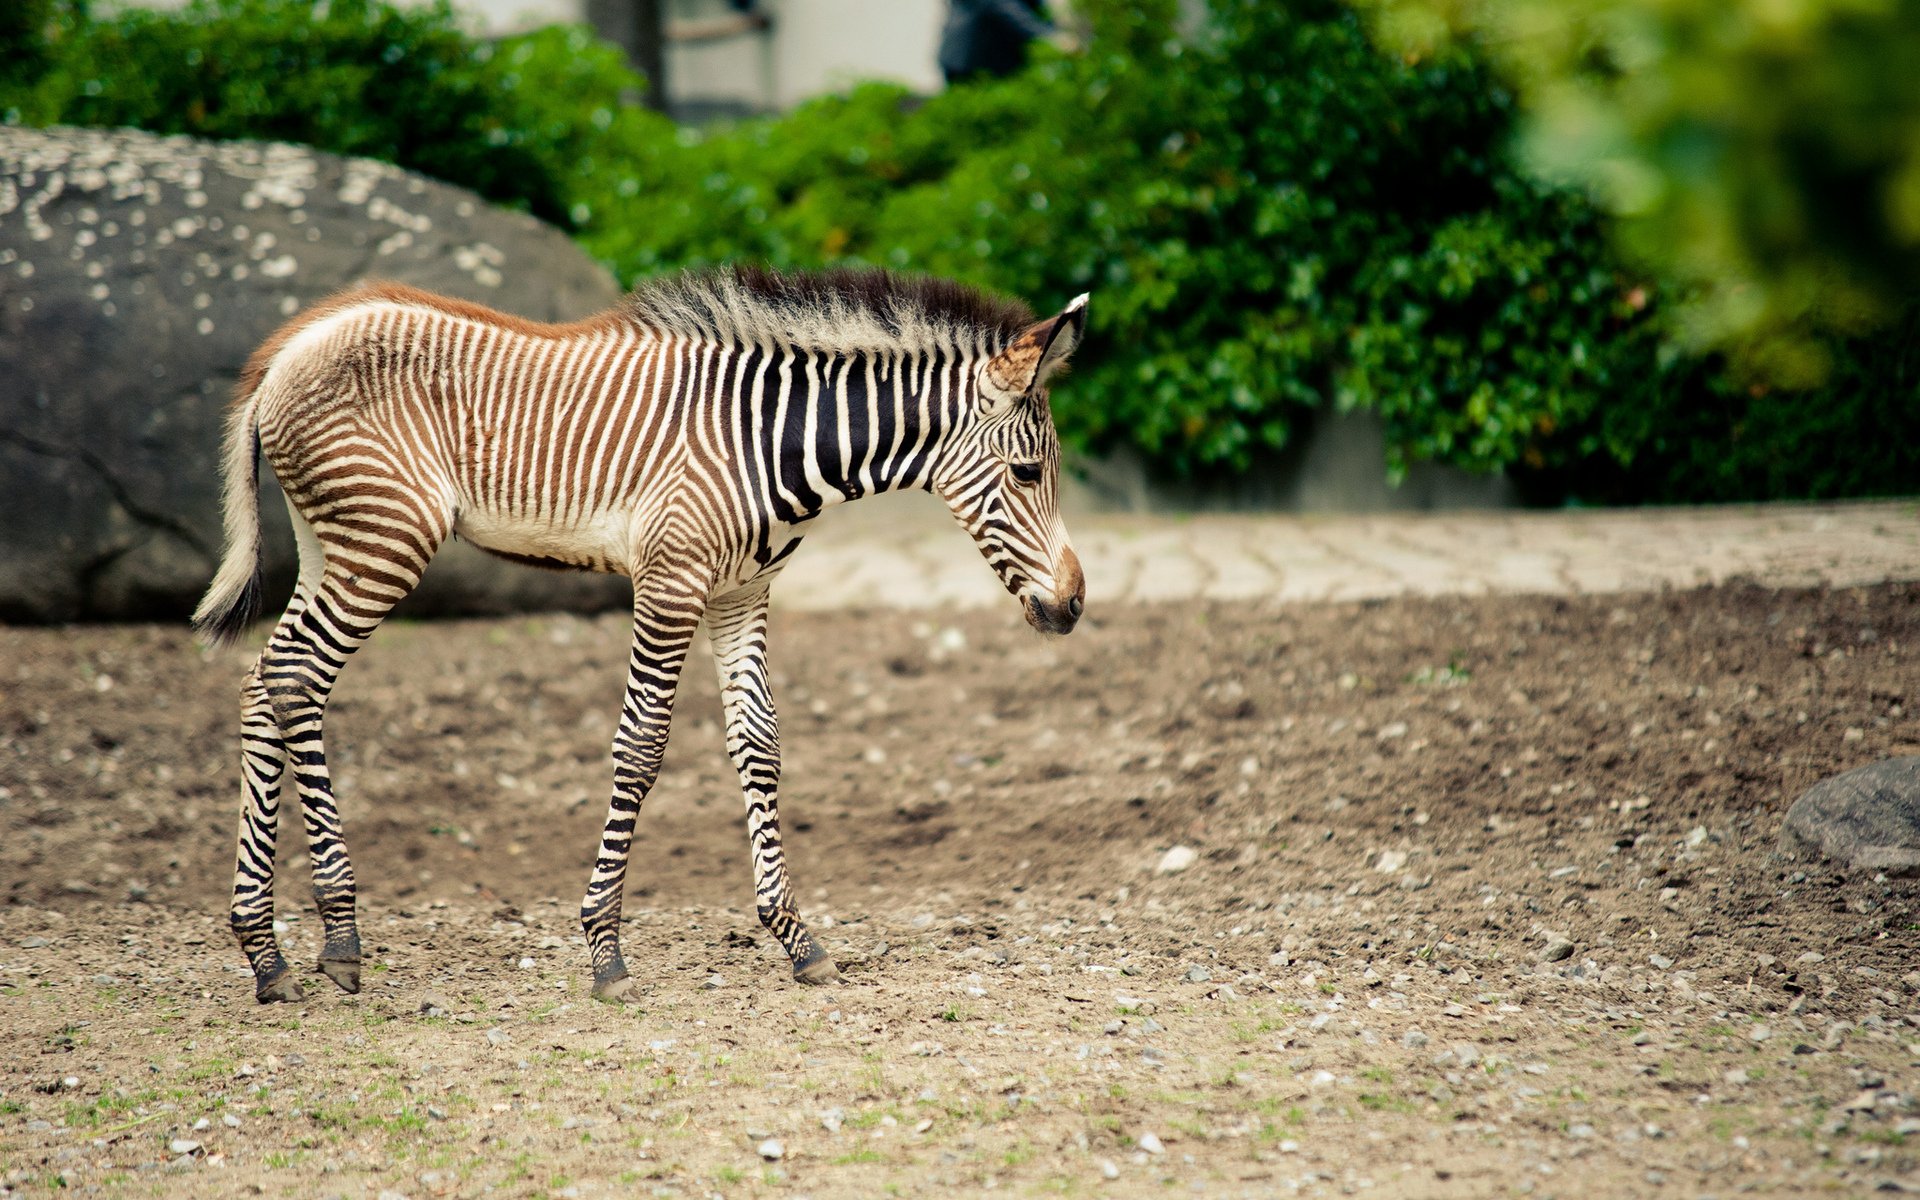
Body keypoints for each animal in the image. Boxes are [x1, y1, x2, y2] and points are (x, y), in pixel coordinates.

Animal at [192, 265, 1088, 1004]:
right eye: (1028, 473)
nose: (1075, 606)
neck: (773, 443)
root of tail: (290, 346)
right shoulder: (671, 582)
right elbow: (642, 745)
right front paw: (605, 951)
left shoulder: (741, 592)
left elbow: (758, 744)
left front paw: (796, 939)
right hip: (384, 538)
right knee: (296, 677)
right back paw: (340, 938)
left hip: (331, 541)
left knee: (265, 683)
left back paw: (266, 954)